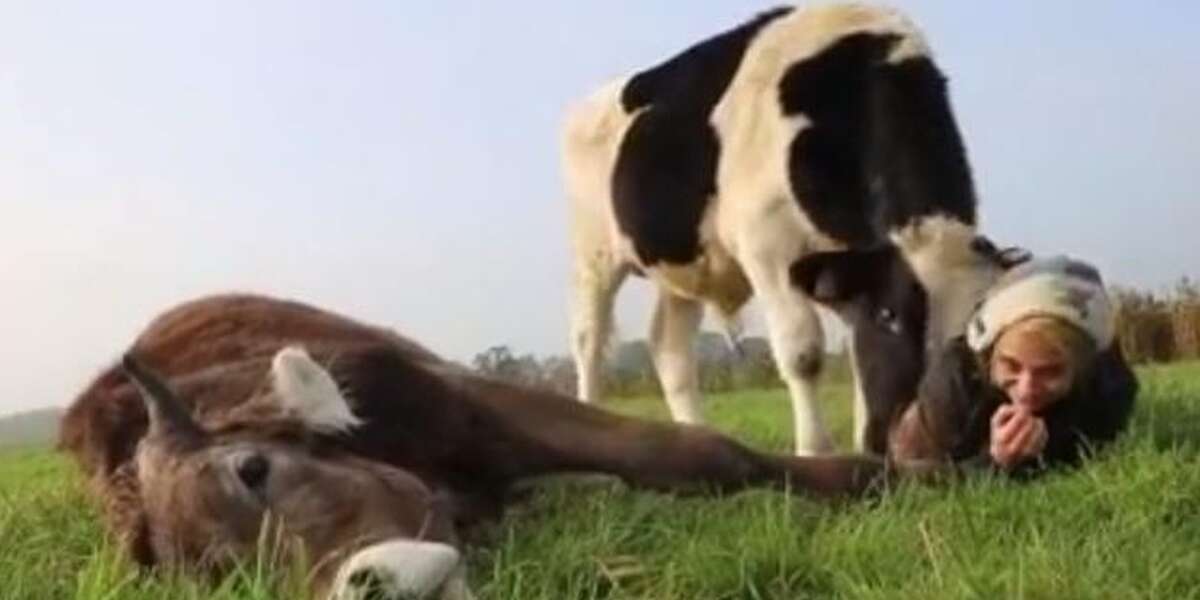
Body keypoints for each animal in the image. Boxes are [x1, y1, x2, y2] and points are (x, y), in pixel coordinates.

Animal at [60, 294, 896, 600]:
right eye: (230, 583)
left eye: (254, 468)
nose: (365, 587)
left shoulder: (473, 398)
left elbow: (688, 450)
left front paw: (877, 472)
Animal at [563, 3, 1005, 456]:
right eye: (890, 316)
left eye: (972, 337)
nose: (914, 443)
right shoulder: (766, 242)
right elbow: (803, 353)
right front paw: (815, 451)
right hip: (593, 255)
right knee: (589, 341)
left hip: (685, 264)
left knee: (669, 347)